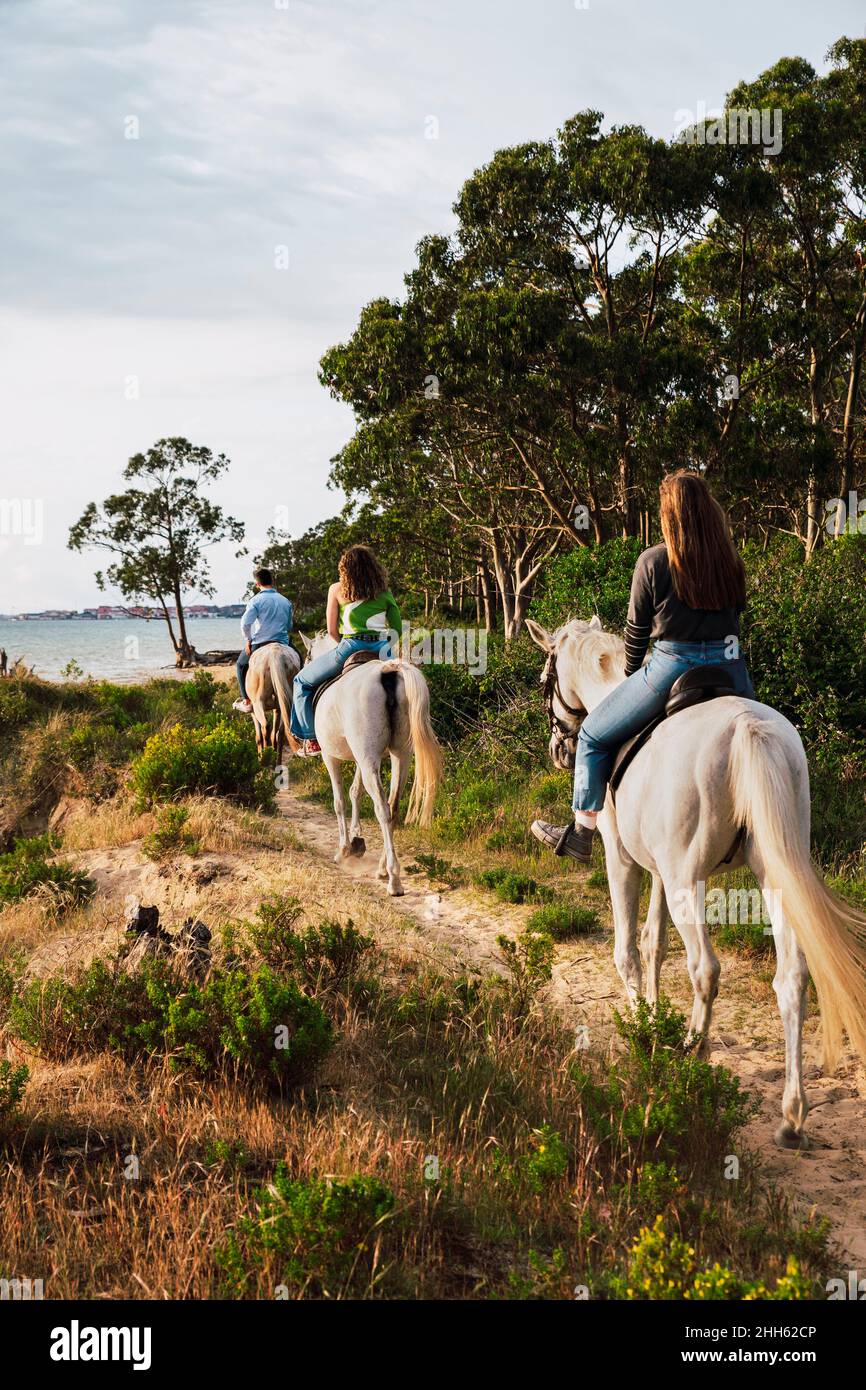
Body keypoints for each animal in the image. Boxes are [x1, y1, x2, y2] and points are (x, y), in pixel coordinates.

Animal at [297, 633, 443, 895]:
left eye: (308, 657)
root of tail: (388, 671)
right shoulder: (361, 758)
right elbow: (356, 792)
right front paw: (357, 840)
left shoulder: (330, 757)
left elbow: (339, 801)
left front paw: (344, 849)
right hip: (398, 756)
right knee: (392, 807)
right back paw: (384, 868)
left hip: (369, 759)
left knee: (382, 810)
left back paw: (394, 879)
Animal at [525, 615, 866, 1149]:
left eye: (546, 679)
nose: (560, 750)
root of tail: (746, 727)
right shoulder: (663, 872)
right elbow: (654, 944)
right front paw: (653, 1016)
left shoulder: (624, 858)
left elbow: (627, 950)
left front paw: (643, 1028)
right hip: (772, 873)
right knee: (792, 976)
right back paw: (792, 1116)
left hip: (689, 881)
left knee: (705, 967)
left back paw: (693, 1051)